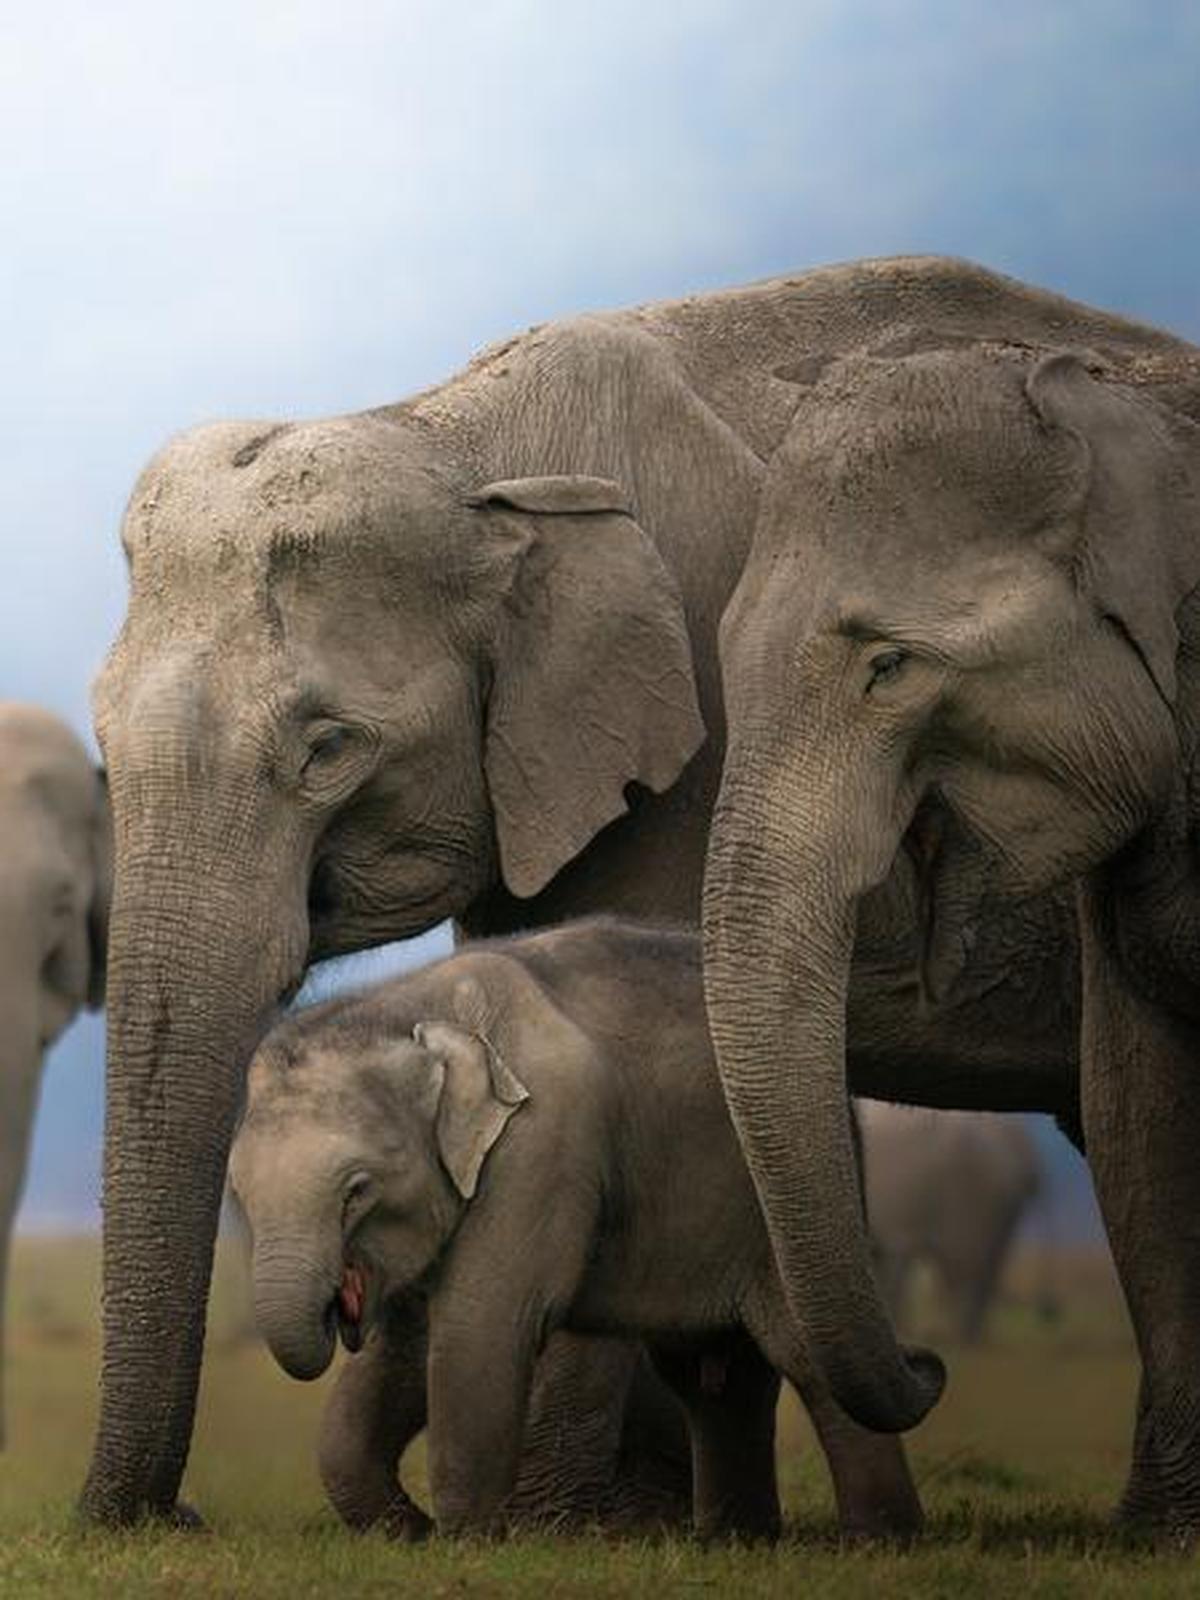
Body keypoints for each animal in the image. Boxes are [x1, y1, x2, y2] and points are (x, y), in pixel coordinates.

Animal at [228, 917, 923, 1541]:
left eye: (358, 1190)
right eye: (239, 1196)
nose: (339, 1308)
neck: (411, 1007)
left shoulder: (543, 1143)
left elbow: (478, 1324)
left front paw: (467, 1543)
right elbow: (406, 1345)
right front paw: (409, 1533)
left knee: (802, 1355)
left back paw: (880, 1541)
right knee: (716, 1376)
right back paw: (738, 1541)